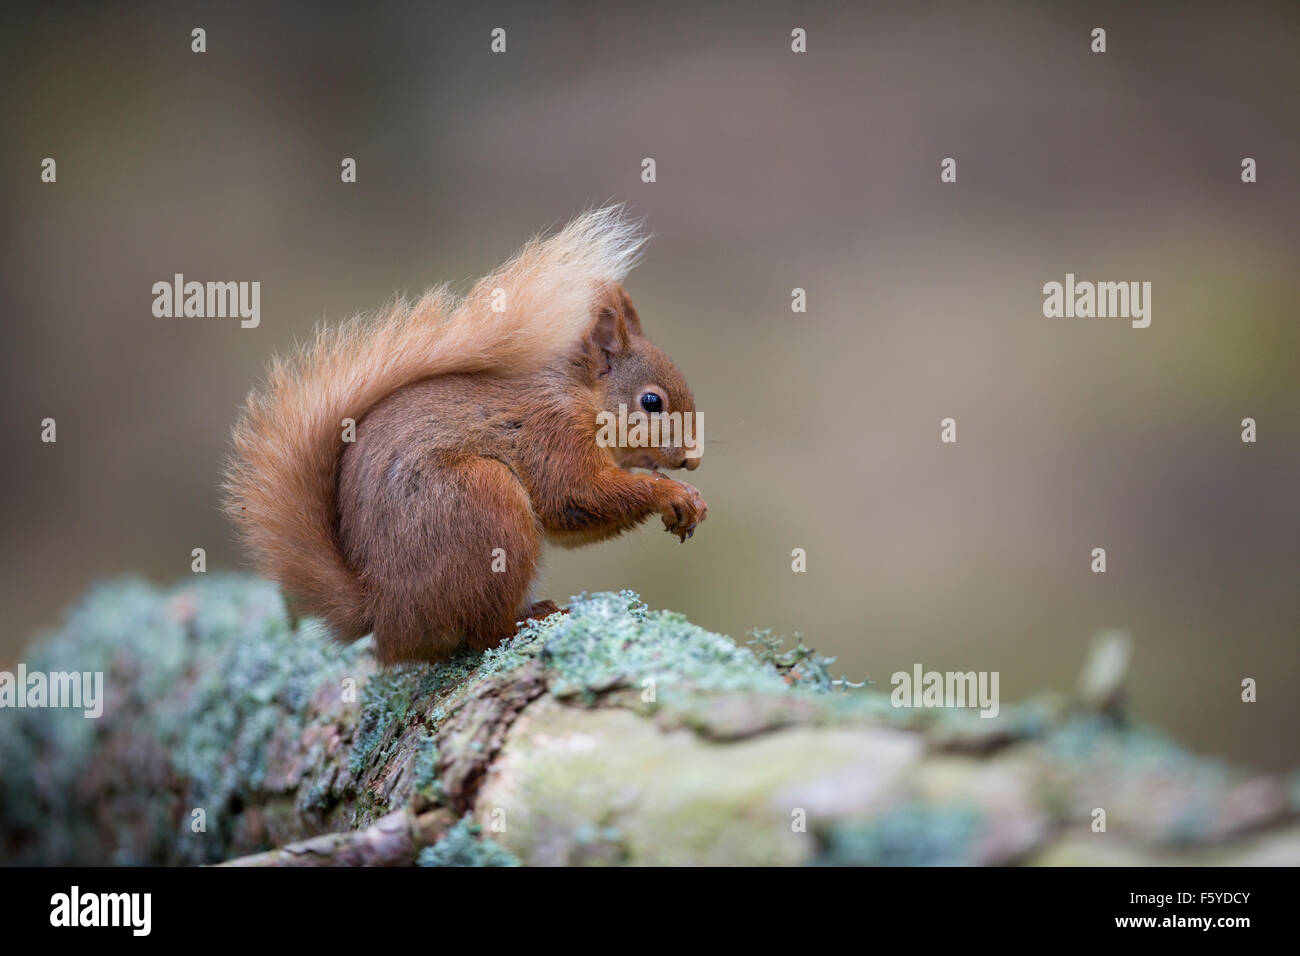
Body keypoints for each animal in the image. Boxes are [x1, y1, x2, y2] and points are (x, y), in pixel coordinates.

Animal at [223, 208, 706, 665]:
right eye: (651, 401)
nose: (692, 459)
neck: (581, 399)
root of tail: (384, 615)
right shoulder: (555, 433)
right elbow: (573, 495)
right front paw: (673, 494)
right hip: (483, 502)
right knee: (483, 631)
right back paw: (531, 617)